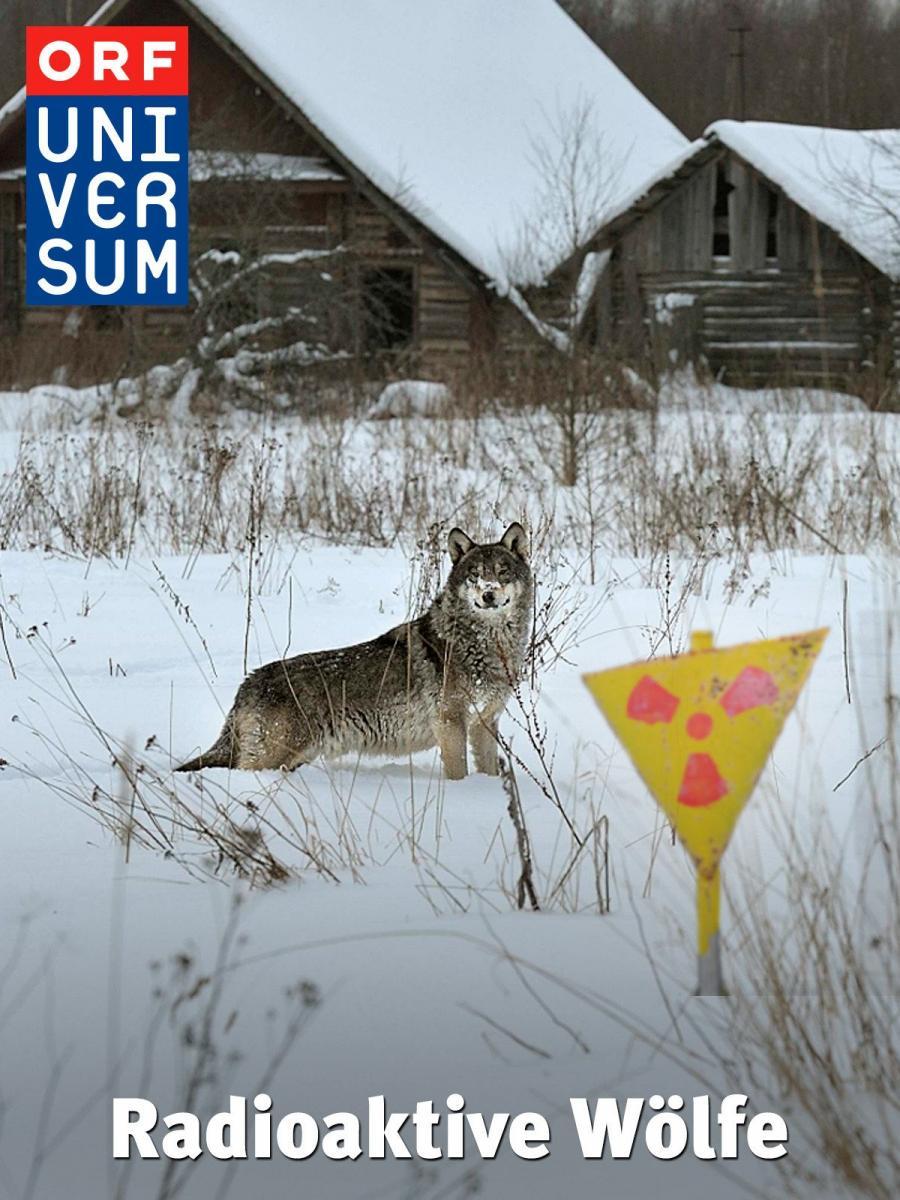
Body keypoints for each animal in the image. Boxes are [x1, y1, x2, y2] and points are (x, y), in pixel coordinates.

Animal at [176, 523, 532, 779]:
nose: (488, 595)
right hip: (273, 758)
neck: (487, 646)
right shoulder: (451, 725)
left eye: (502, 572)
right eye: (475, 575)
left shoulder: (485, 724)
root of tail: (247, 683)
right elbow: (459, 775)